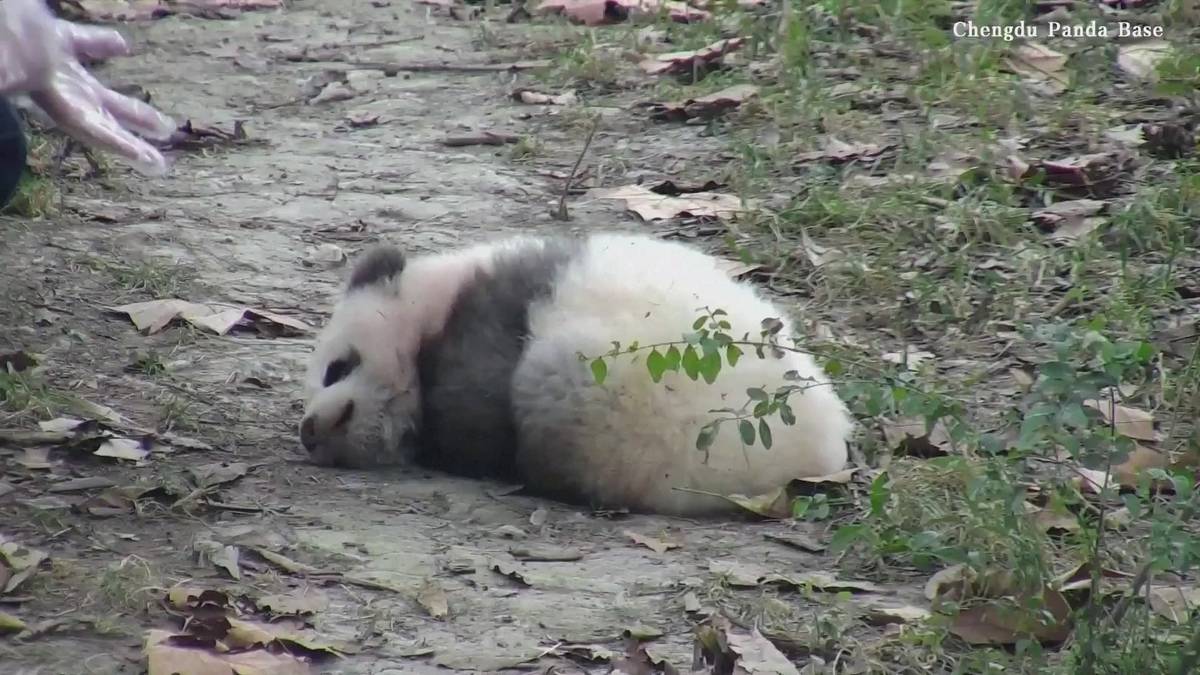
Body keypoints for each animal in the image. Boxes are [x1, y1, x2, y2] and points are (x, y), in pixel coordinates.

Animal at [298, 232, 853, 517]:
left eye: (337, 368)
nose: (308, 430)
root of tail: (816, 457)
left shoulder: (494, 317)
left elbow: (471, 404)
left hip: (638, 406)